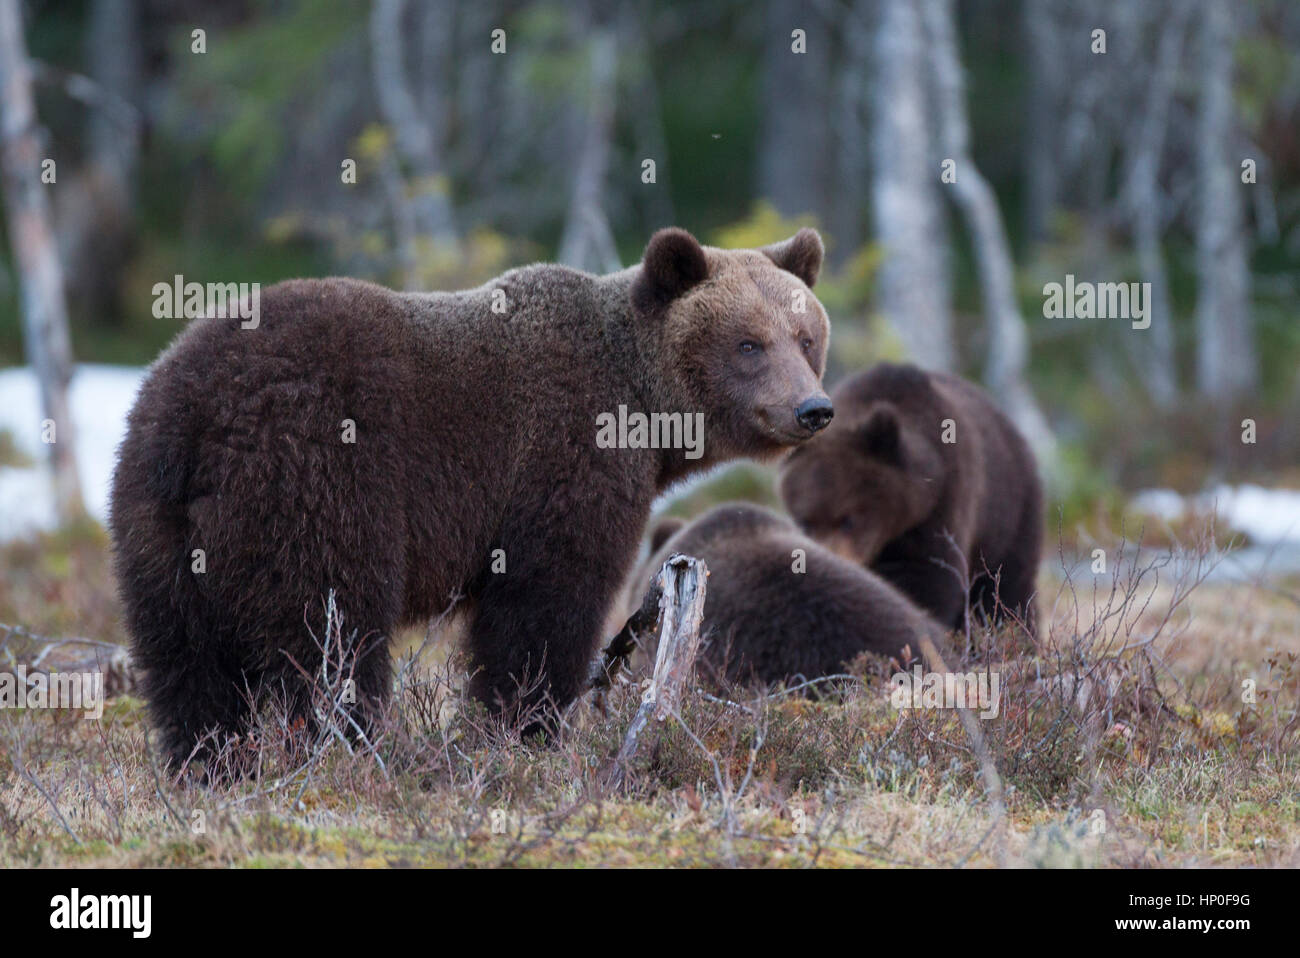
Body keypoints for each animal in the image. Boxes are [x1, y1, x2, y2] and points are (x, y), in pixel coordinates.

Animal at [109, 226, 834, 770]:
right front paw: (525, 730)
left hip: (154, 525)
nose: (813, 408)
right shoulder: (561, 453)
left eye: (806, 338)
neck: (645, 409)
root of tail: (192, 412)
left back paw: (211, 766)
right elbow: (545, 607)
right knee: (330, 636)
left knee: (186, 664)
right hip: (314, 479)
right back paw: (350, 752)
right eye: (748, 343)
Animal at [778, 362, 1042, 638]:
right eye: (805, 522)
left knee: (1007, 585)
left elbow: (930, 577)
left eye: (849, 520)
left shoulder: (943, 504)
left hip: (1009, 514)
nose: (834, 563)